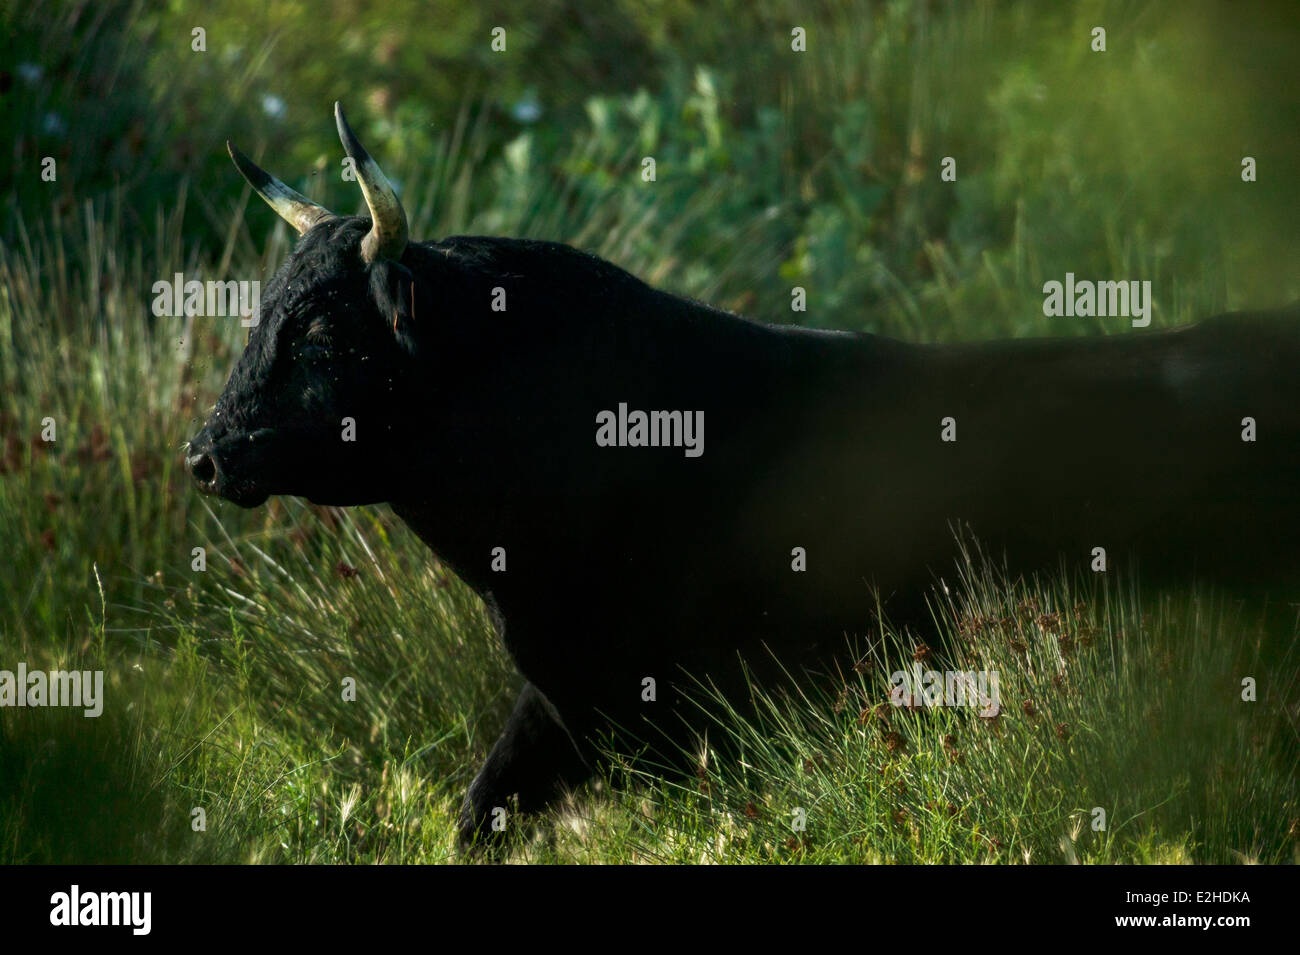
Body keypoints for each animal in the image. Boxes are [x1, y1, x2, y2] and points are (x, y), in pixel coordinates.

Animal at [187, 104, 1300, 850]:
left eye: (323, 329)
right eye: (262, 309)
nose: (205, 451)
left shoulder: (723, 713)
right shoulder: (564, 698)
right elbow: (478, 811)